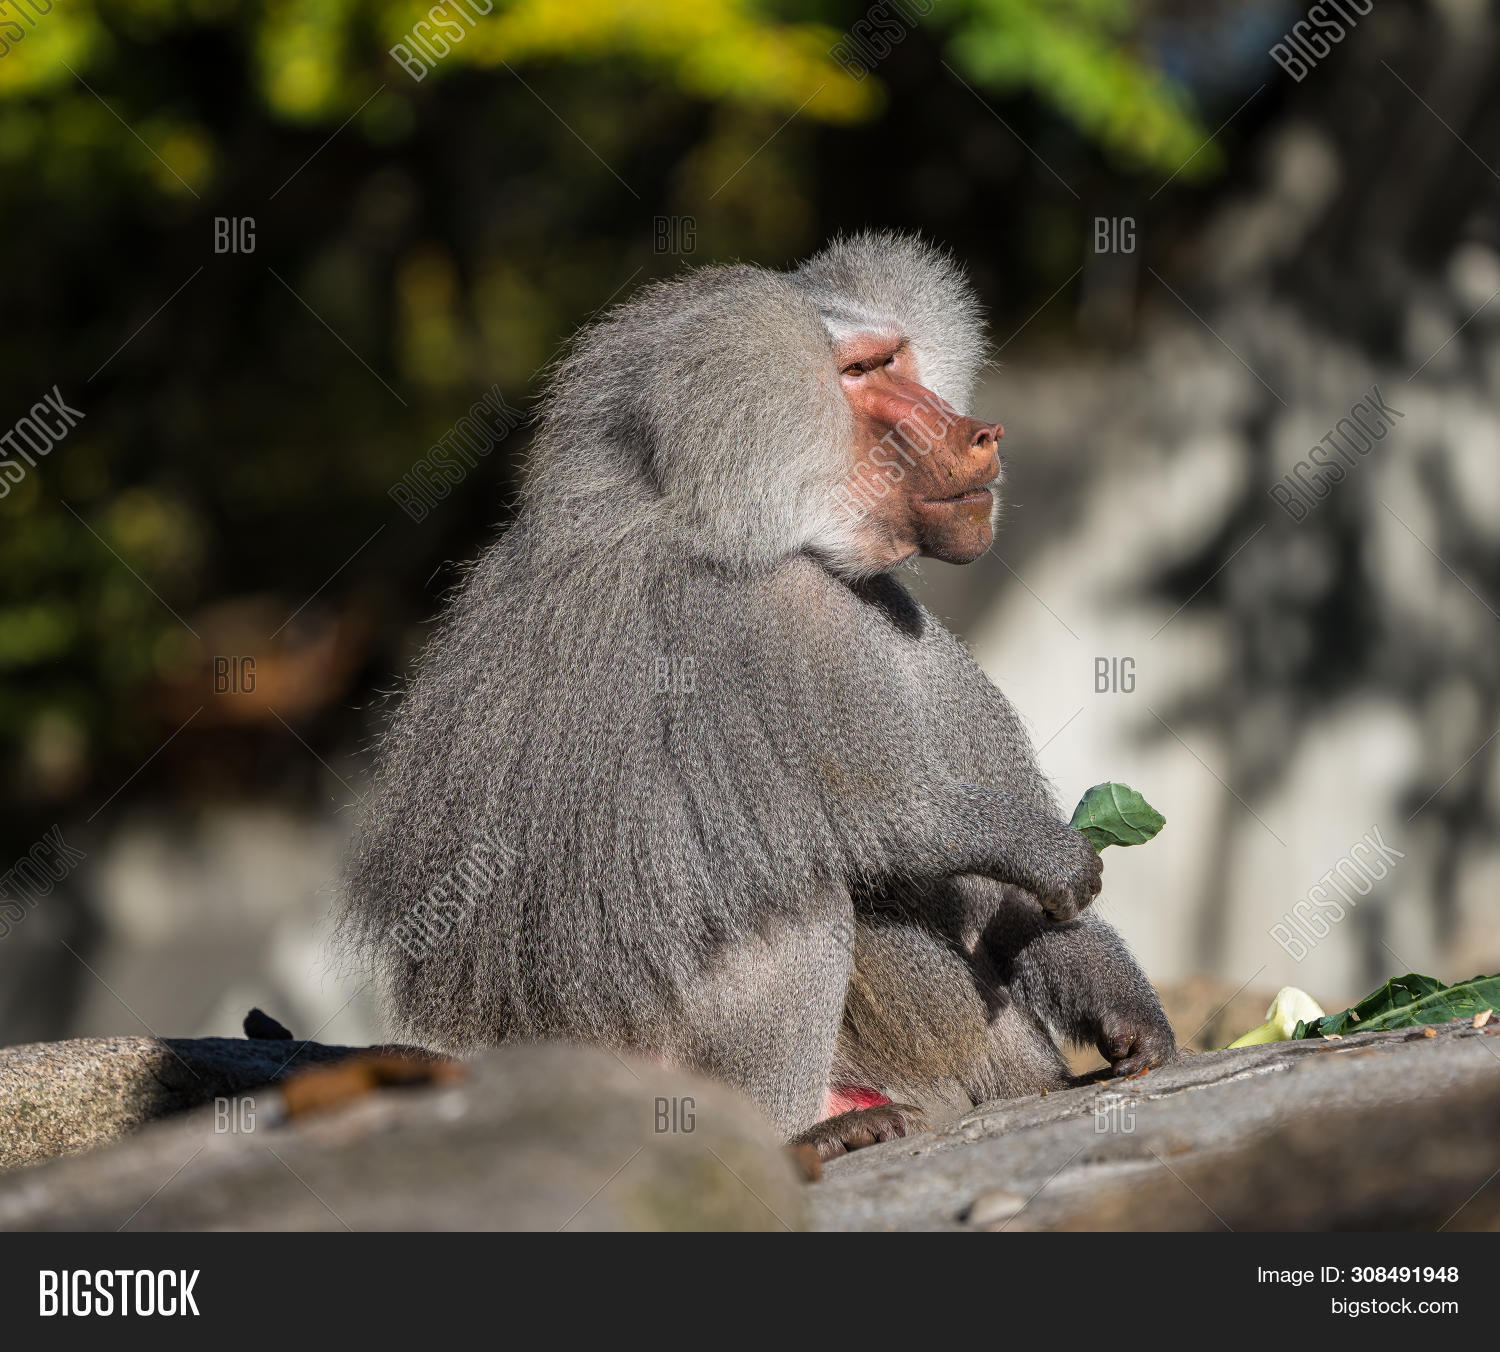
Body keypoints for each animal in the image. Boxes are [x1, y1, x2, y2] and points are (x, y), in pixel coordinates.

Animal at [336, 231, 1175, 1161]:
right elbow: (898, 818)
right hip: (659, 1048)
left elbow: (993, 895)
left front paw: (1120, 1005)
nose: (981, 433)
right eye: (860, 372)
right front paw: (1048, 853)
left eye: (897, 356)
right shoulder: (778, 613)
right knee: (797, 903)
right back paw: (803, 1134)